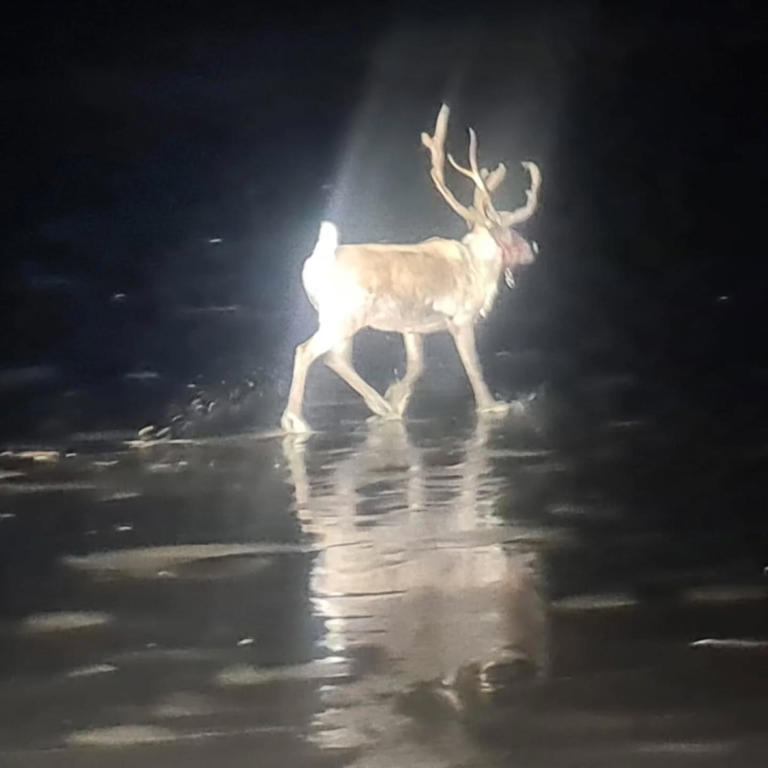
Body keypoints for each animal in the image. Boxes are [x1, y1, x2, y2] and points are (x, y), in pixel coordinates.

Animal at [281, 103, 541, 434]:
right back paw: (296, 420)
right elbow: (473, 365)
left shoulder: (411, 326)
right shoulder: (461, 318)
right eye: (513, 232)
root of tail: (315, 262)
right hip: (344, 317)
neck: (479, 268)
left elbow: (417, 366)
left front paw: (397, 396)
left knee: (336, 359)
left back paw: (381, 405)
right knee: (308, 351)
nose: (533, 250)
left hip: (340, 319)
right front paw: (492, 405)